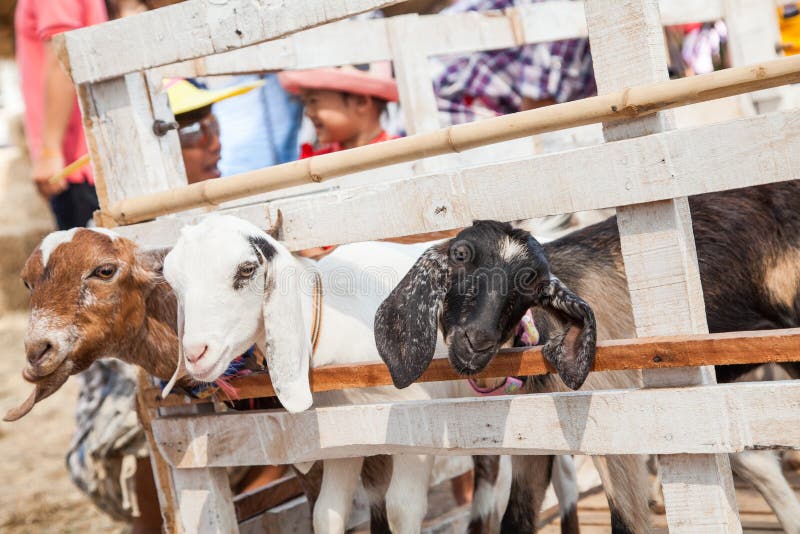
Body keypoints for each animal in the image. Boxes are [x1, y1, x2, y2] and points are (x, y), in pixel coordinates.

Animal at [162, 214, 571, 534]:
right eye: (174, 283)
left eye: (246, 270)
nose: (196, 354)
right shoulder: (345, 435)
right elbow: (326, 513)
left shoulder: (417, 425)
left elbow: (401, 510)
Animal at [375, 180, 800, 533]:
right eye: (460, 255)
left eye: (531, 282)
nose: (477, 340)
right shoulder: (533, 438)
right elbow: (516, 519)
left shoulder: (614, 428)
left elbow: (627, 522)